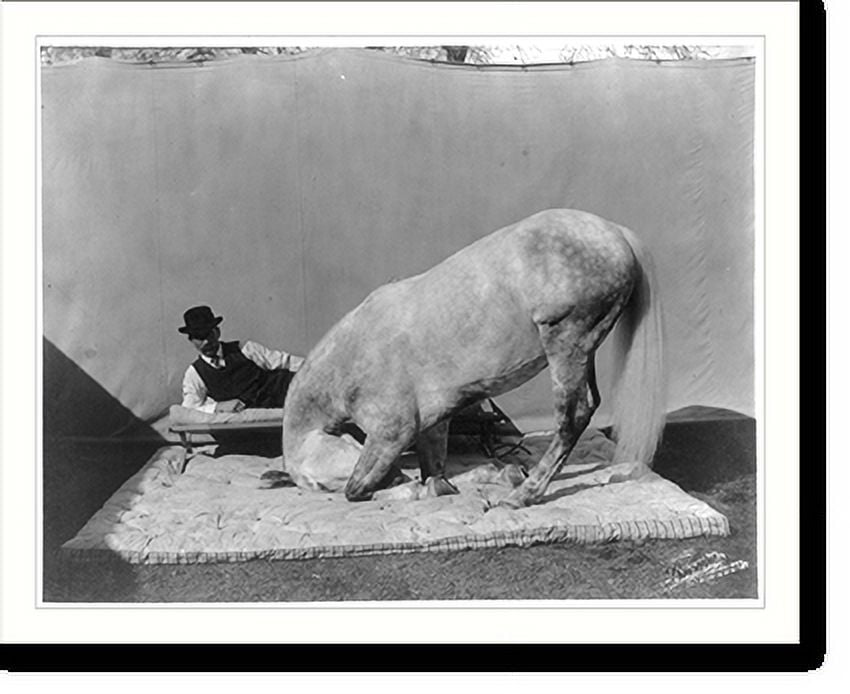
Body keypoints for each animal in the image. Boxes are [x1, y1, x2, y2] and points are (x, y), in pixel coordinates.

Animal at [264, 208, 665, 508]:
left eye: (317, 484)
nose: (397, 477)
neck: (351, 357)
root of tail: (614, 232)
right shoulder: (432, 423)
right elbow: (437, 469)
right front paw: (478, 478)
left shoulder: (392, 432)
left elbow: (356, 488)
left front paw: (415, 489)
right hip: (584, 349)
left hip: (566, 344)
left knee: (573, 417)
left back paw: (525, 494)